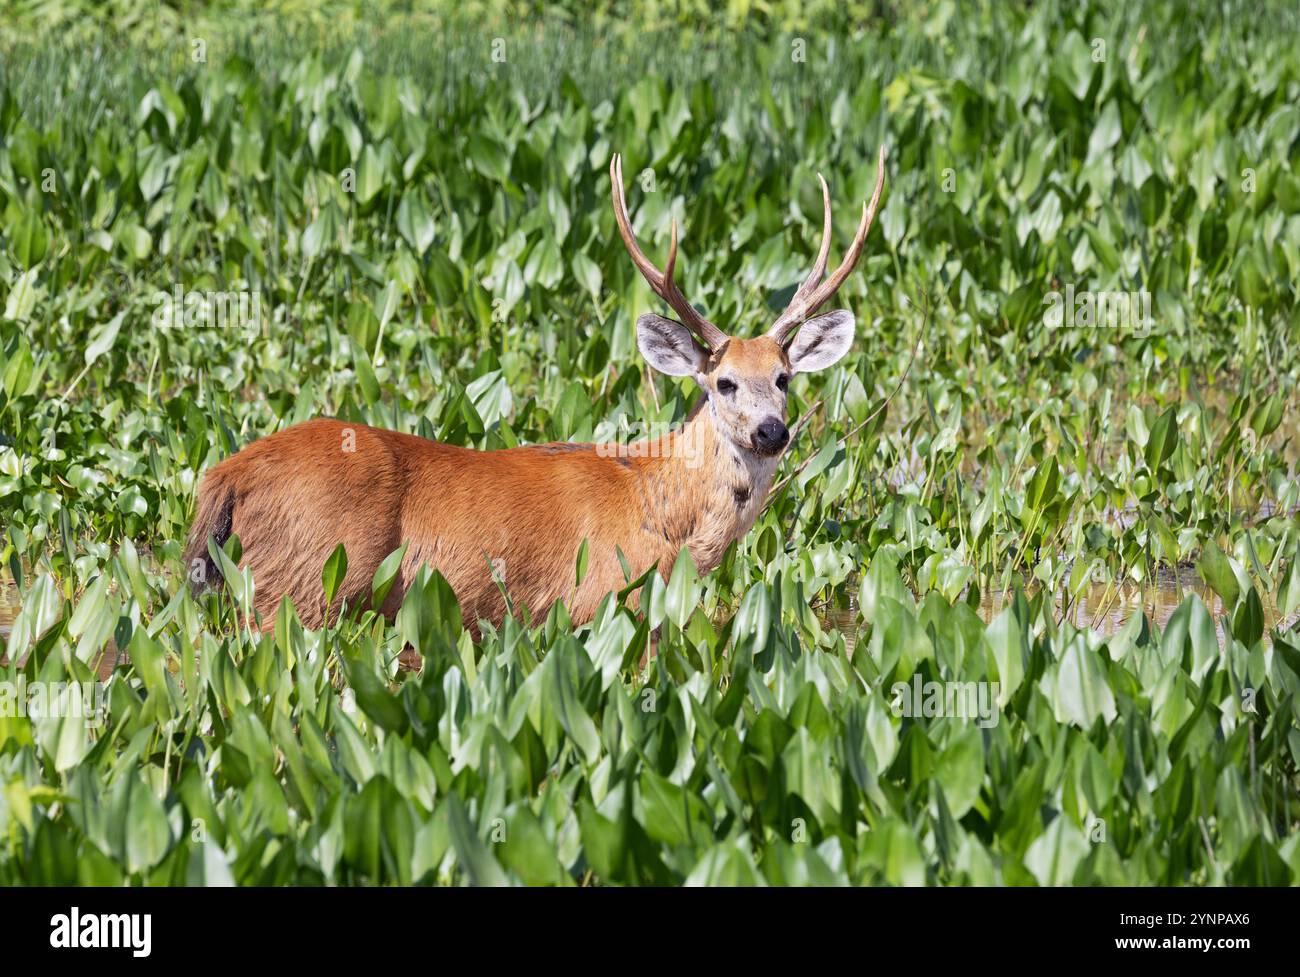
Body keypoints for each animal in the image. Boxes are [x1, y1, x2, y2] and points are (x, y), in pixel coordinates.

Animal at [184, 148, 886, 637]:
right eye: (723, 382)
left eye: (784, 378)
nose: (772, 430)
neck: (665, 514)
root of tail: (225, 474)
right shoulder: (605, 605)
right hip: (302, 586)